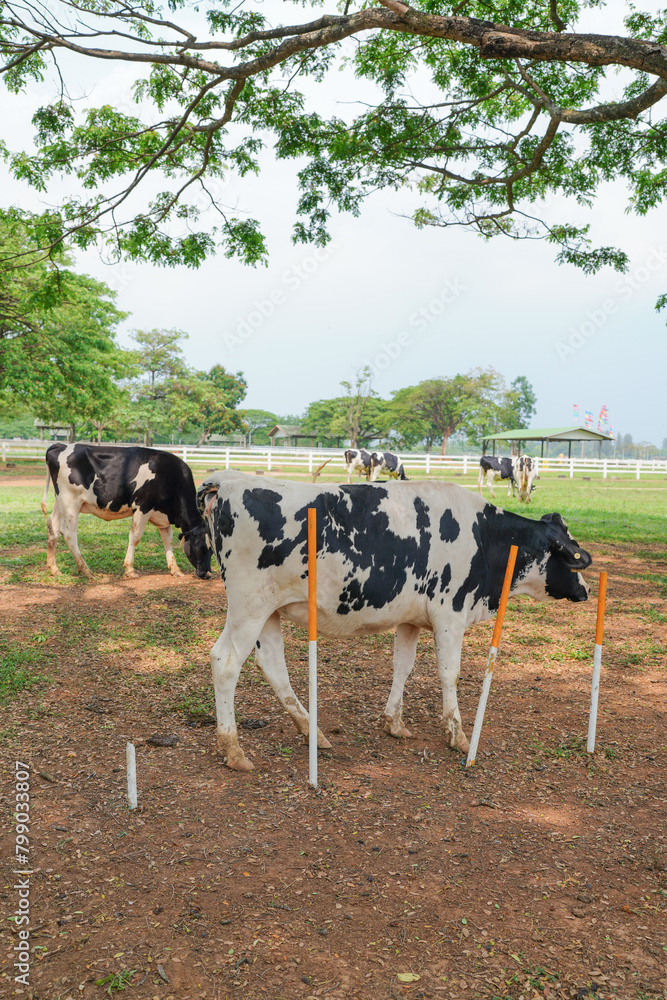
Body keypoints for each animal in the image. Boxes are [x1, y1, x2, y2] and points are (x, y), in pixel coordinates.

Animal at [42, 443, 213, 579]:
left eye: (212, 551)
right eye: (201, 548)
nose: (208, 574)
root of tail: (62, 445)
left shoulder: (162, 516)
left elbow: (167, 540)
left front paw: (175, 569)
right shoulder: (143, 506)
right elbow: (135, 537)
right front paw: (130, 569)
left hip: (60, 501)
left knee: (53, 527)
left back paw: (54, 568)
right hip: (70, 501)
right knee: (69, 534)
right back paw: (86, 571)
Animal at [197, 471, 591, 771]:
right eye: (570, 556)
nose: (587, 590)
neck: (484, 535)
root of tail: (228, 479)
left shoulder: (411, 620)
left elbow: (403, 666)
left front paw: (394, 723)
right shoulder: (450, 614)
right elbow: (450, 673)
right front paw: (458, 735)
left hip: (268, 612)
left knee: (272, 664)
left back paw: (313, 732)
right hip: (249, 607)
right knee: (225, 663)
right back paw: (233, 750)